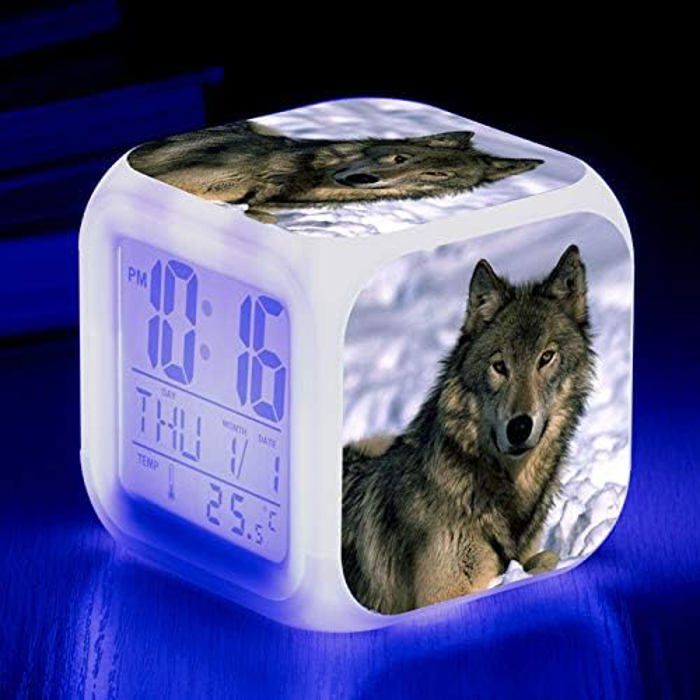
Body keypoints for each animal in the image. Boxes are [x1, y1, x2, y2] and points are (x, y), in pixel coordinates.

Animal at [342, 245, 594, 614]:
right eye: (499, 366)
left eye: (546, 357)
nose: (520, 427)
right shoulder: (443, 594)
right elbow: (542, 561)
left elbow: (542, 558)